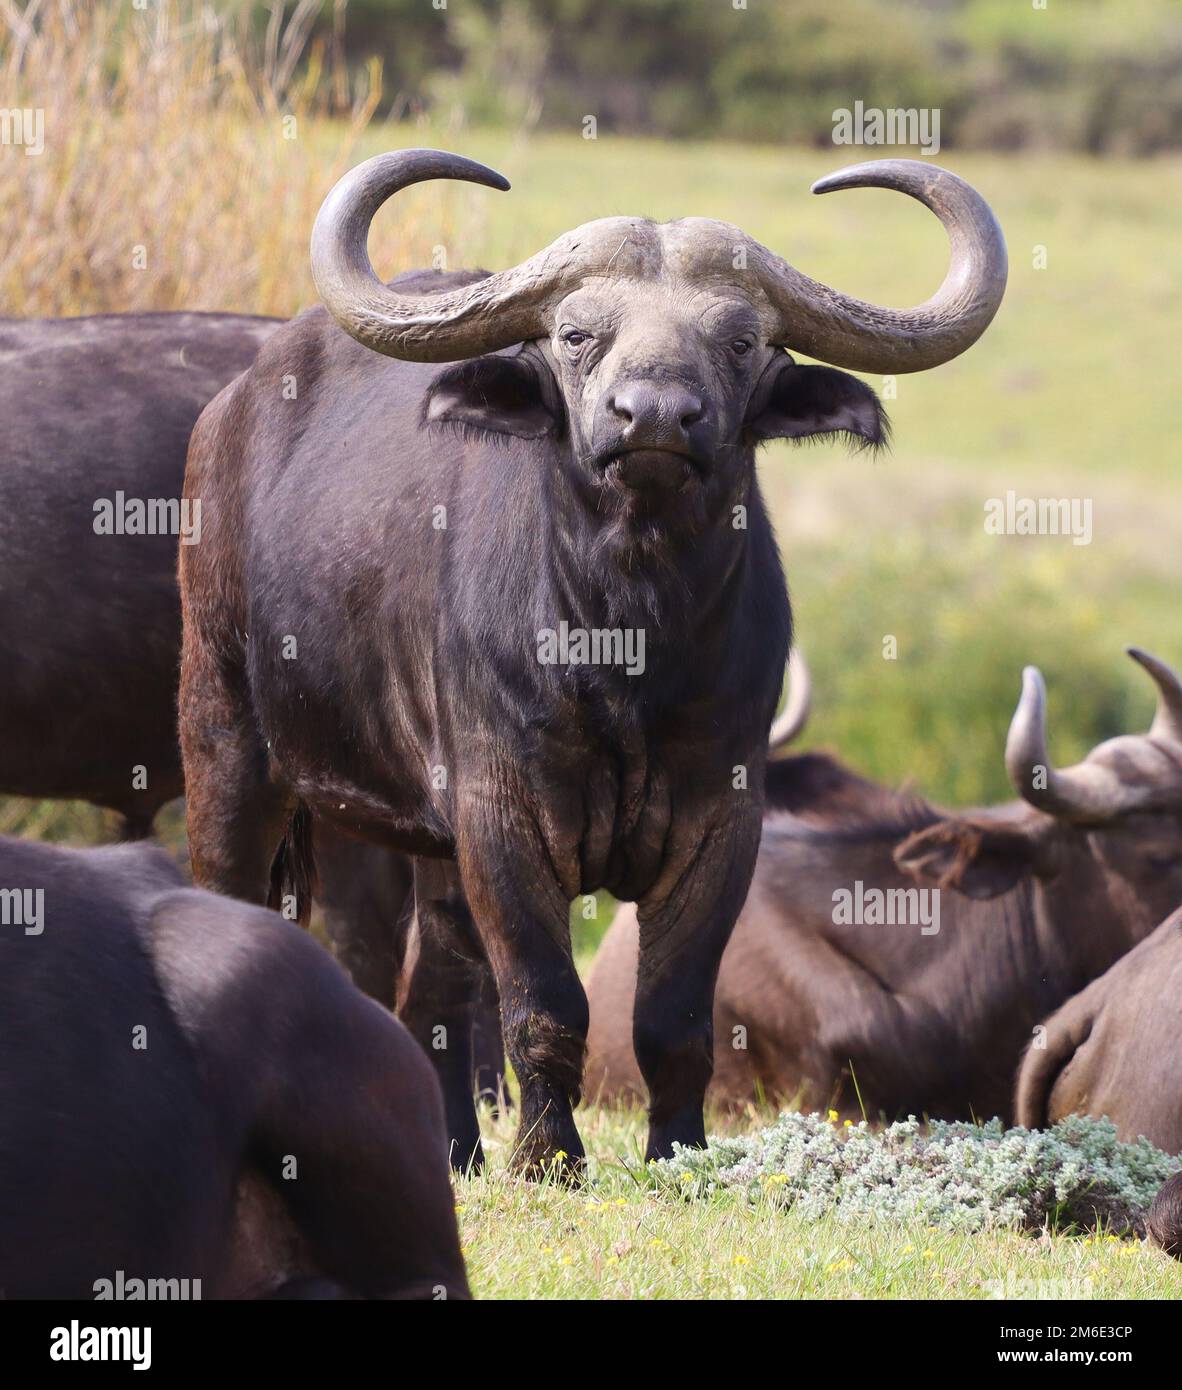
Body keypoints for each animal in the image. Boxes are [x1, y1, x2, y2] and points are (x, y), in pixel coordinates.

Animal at [179, 147, 1006, 1172]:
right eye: (577, 335)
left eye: (740, 342)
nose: (652, 416)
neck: (626, 645)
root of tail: (227, 415)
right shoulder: (503, 813)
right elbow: (545, 1003)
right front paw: (549, 1159)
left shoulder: (722, 820)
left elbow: (674, 1017)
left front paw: (678, 1151)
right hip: (225, 738)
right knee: (237, 895)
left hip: (432, 842)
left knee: (436, 984)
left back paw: (455, 1150)